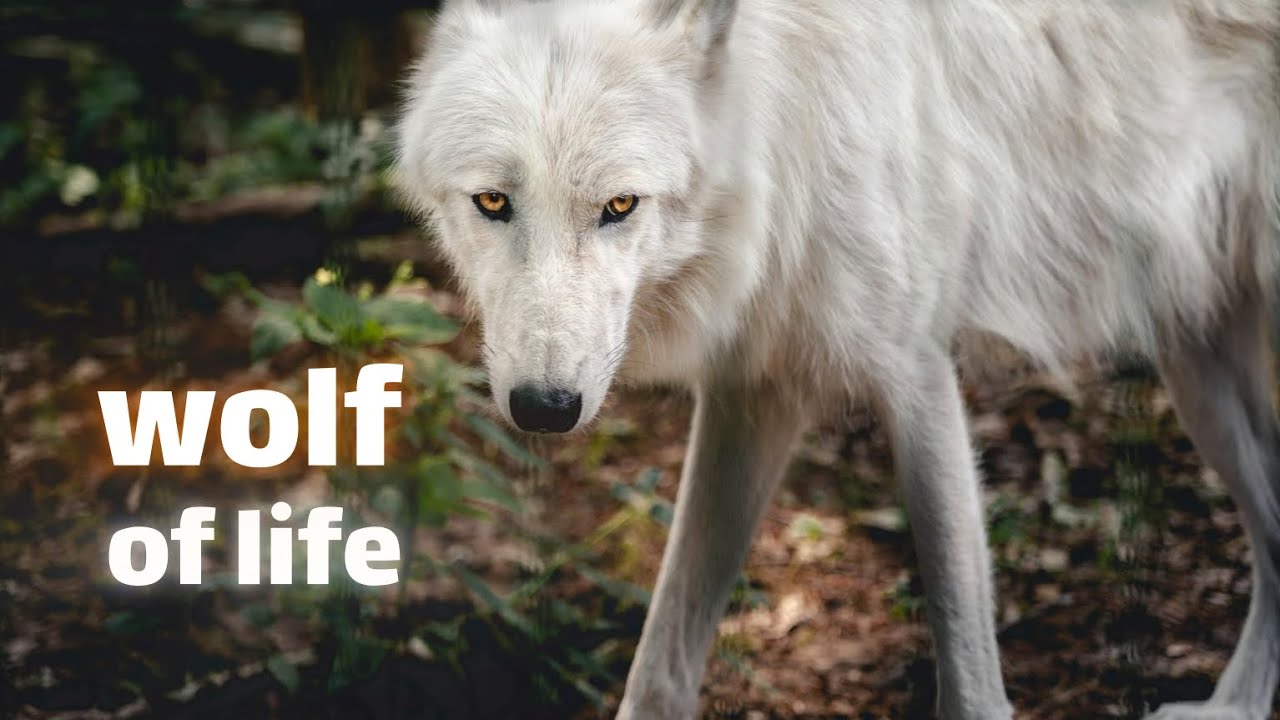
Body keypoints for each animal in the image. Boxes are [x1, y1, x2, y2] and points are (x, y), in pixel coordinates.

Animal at [395, 0, 1280, 717]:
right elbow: (661, 670)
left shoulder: (917, 376)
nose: (545, 409)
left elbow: (968, 675)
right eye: (493, 202)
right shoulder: (753, 389)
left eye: (619, 205)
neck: (781, 107)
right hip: (1195, 366)